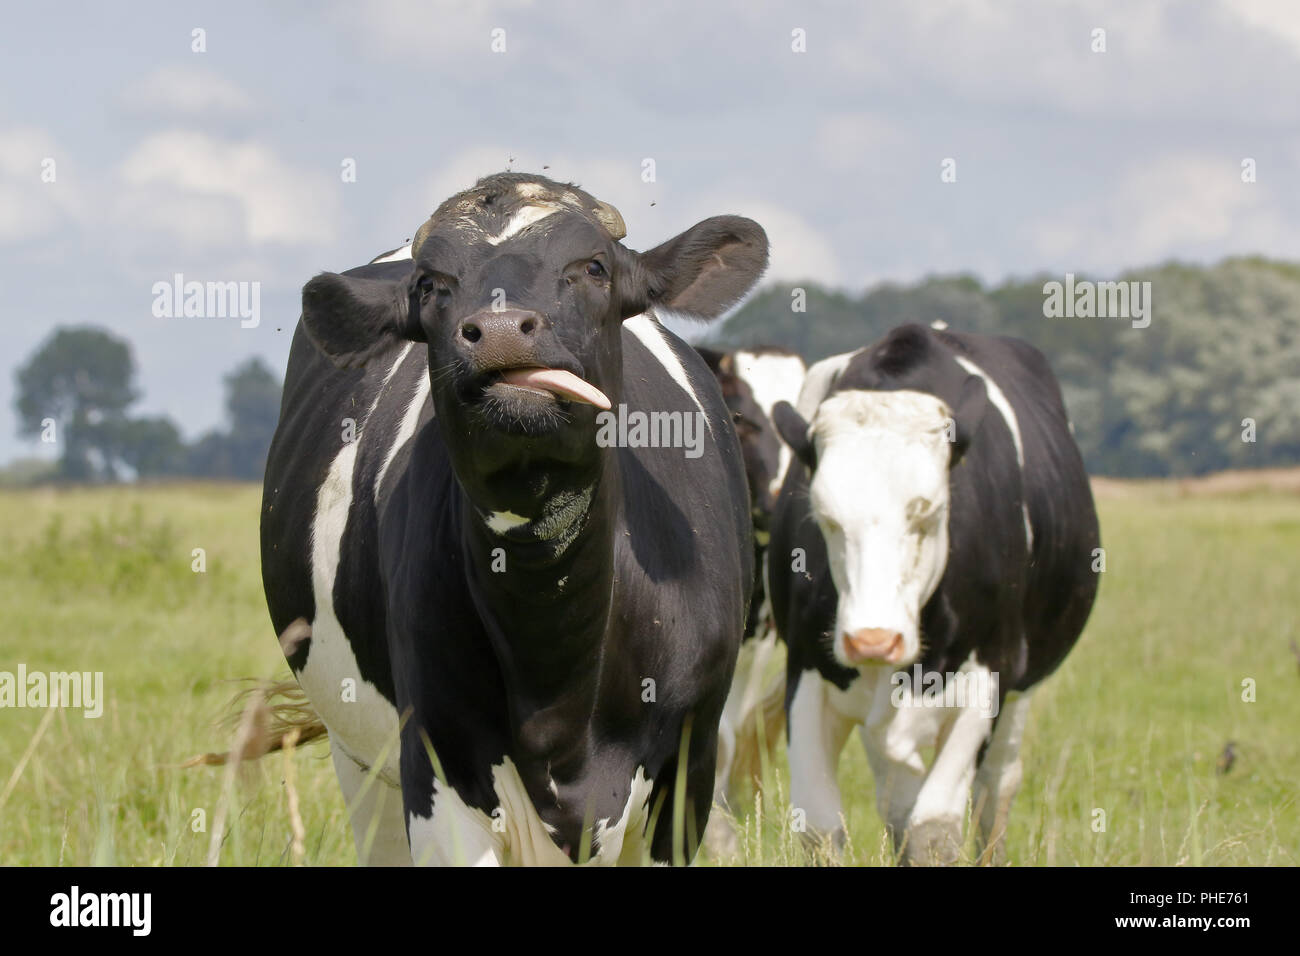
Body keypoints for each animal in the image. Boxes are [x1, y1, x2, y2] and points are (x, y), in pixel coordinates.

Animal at [260, 172, 769, 865]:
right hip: (358, 757)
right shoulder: (436, 763)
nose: (500, 328)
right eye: (431, 285)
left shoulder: (689, 765)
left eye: (594, 267)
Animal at [768, 322, 1099, 864]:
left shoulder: (989, 677)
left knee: (996, 787)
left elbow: (935, 825)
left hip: (1021, 687)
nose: (872, 639)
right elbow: (820, 825)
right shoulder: (806, 670)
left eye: (930, 511)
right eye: (826, 519)